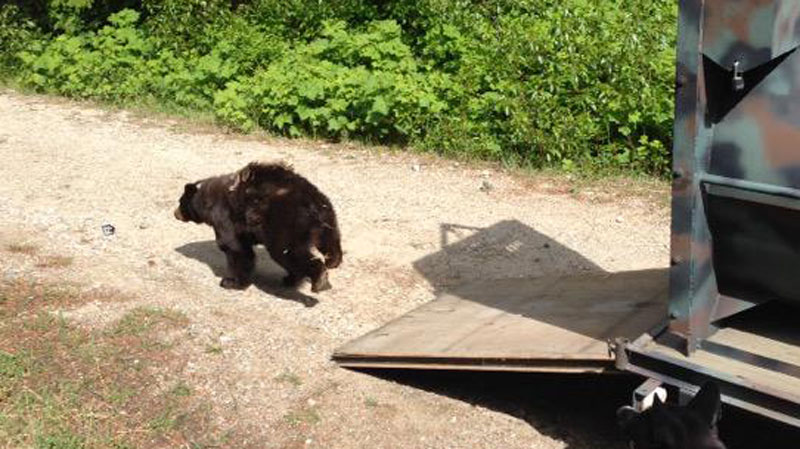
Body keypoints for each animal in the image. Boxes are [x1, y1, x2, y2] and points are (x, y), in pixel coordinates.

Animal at [174, 161, 342, 293]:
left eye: (180, 202)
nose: (175, 213)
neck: (208, 201)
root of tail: (312, 203)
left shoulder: (225, 217)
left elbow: (235, 248)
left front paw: (231, 282)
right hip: (328, 217)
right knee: (331, 241)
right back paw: (332, 261)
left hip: (285, 224)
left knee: (287, 252)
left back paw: (319, 279)